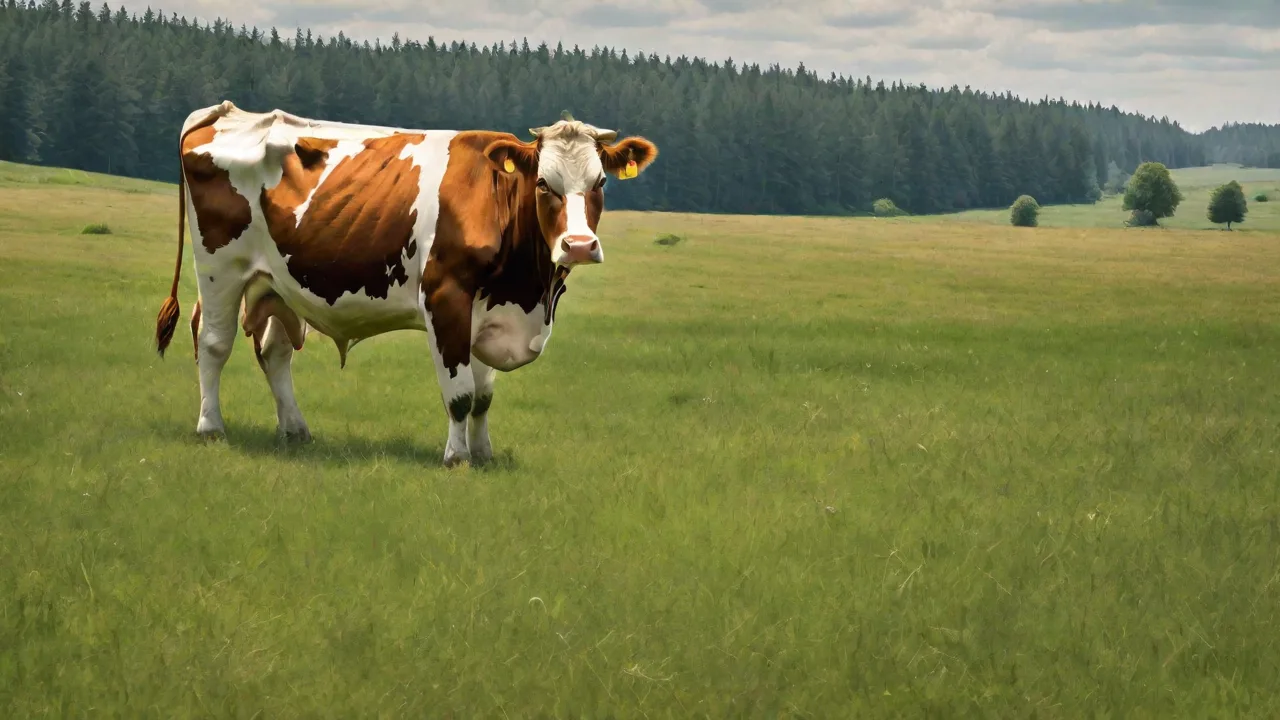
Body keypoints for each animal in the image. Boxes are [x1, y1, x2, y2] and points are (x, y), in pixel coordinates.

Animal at [153, 101, 658, 467]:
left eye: (599, 183)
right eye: (543, 184)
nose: (579, 245)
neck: (528, 293)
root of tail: (223, 111)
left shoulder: (489, 311)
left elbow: (484, 397)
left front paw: (485, 454)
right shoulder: (446, 297)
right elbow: (461, 394)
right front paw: (457, 458)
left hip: (277, 282)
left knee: (274, 351)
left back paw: (295, 430)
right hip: (221, 267)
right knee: (213, 342)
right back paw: (211, 428)